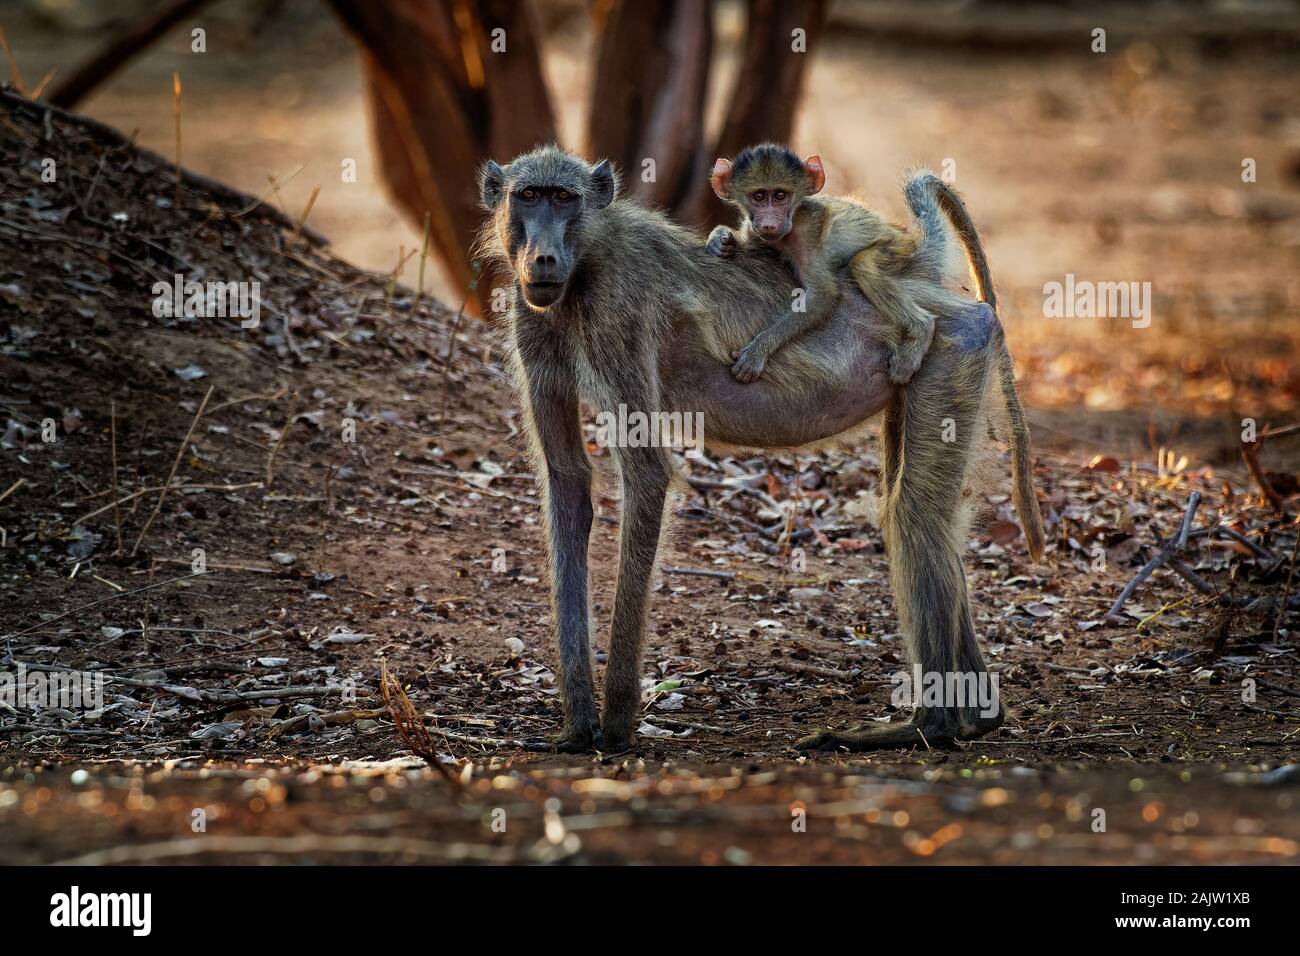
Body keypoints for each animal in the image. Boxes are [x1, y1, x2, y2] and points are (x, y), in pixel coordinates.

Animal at [705, 143, 939, 387]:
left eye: (780, 196)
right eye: (758, 196)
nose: (769, 224)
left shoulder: (806, 235)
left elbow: (822, 296)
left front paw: (758, 350)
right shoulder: (755, 232)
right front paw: (719, 239)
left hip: (899, 245)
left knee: (863, 265)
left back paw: (919, 334)